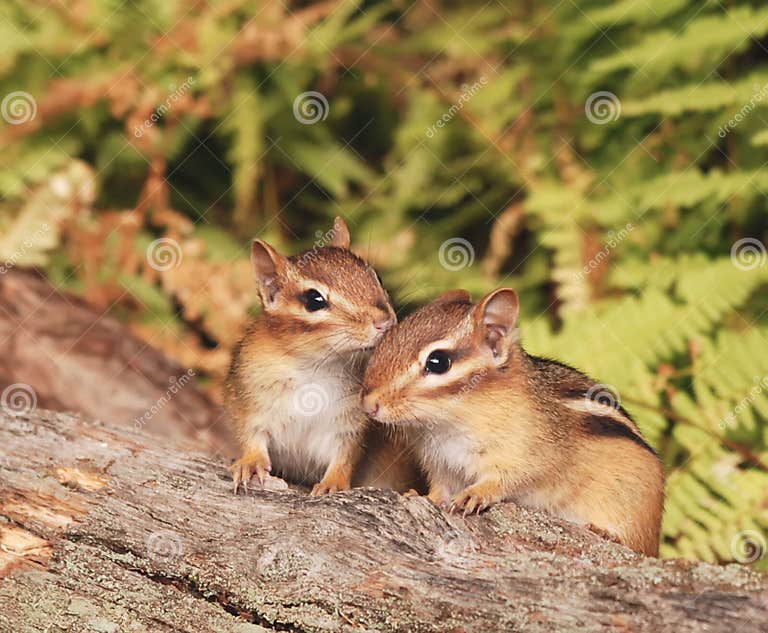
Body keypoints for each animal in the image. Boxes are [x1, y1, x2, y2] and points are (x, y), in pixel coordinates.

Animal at [225, 217, 418, 496]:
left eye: (375, 276)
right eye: (313, 300)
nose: (385, 322)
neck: (316, 366)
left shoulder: (349, 427)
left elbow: (346, 456)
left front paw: (333, 483)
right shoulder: (250, 402)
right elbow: (251, 436)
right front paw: (249, 463)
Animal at [361, 288, 665, 556]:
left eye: (438, 362)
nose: (369, 404)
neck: (449, 423)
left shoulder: (526, 453)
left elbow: (509, 479)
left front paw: (476, 494)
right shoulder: (442, 464)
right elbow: (440, 489)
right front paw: (421, 497)